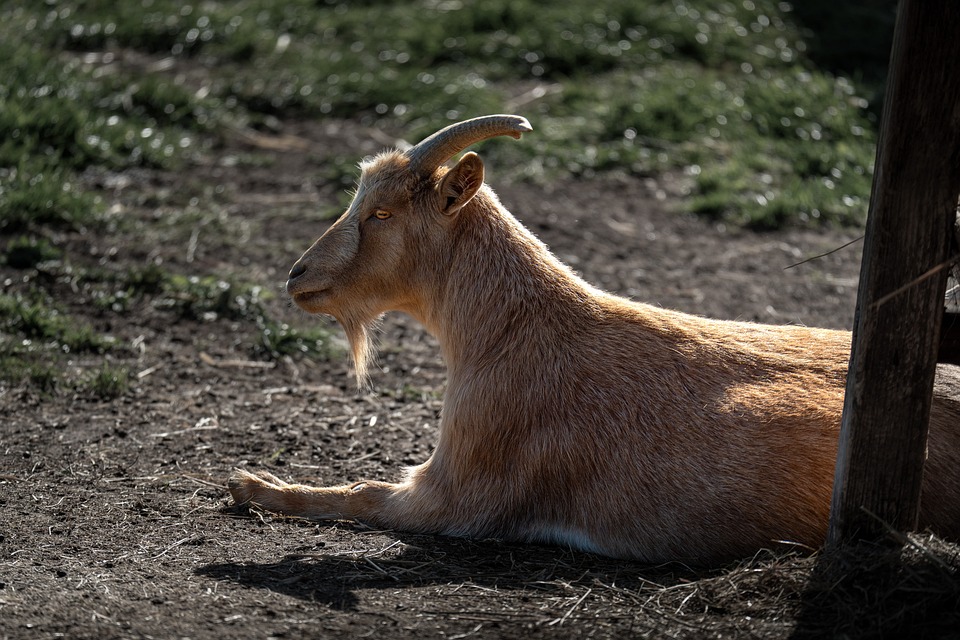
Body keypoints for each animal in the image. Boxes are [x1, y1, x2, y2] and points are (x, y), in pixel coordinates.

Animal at [228, 115, 960, 565]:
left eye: (380, 213)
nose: (298, 276)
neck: (513, 328)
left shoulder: (457, 494)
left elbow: (362, 493)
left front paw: (250, 483)